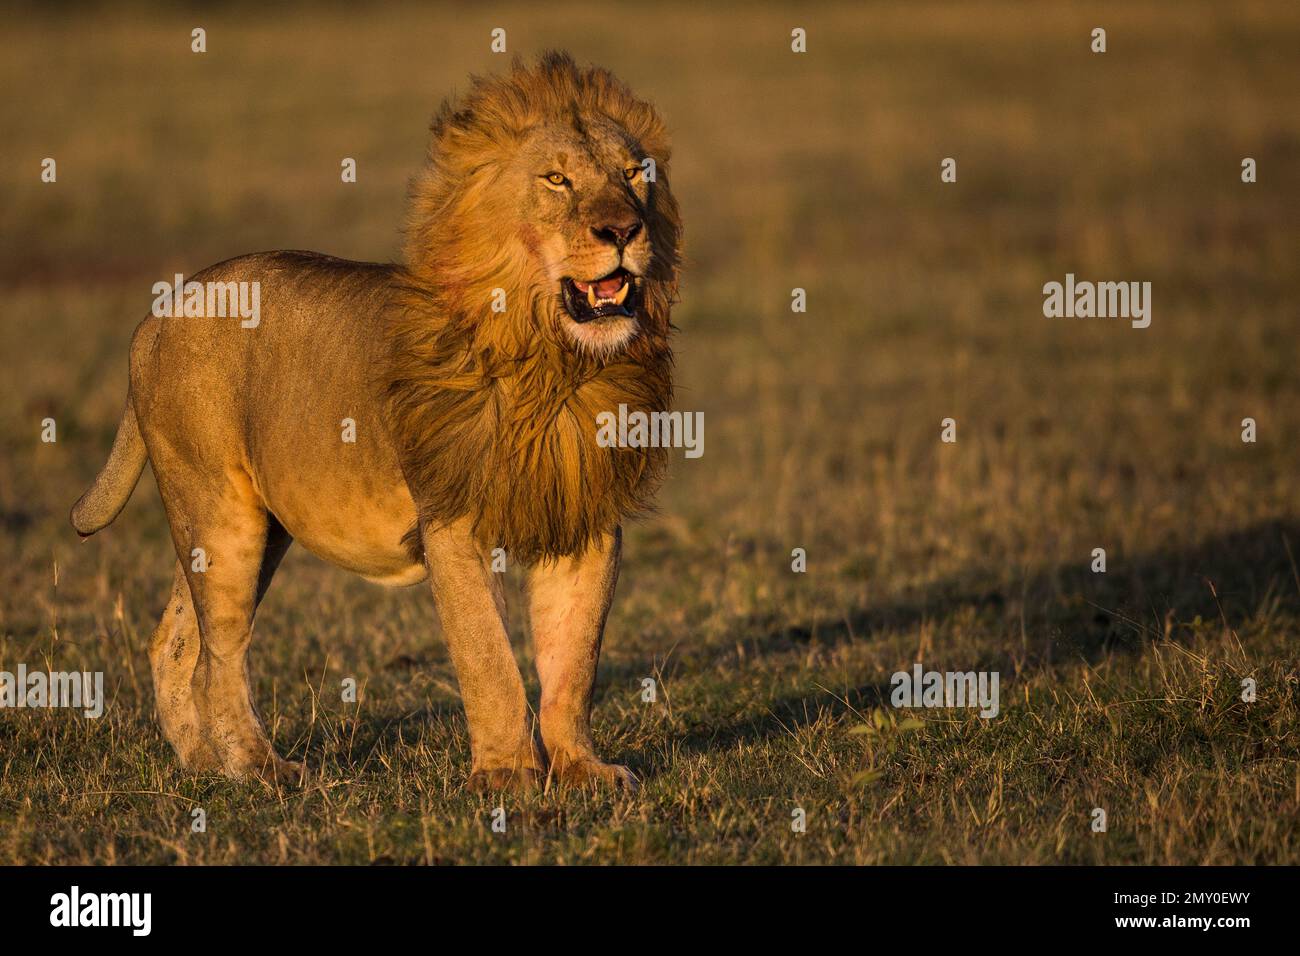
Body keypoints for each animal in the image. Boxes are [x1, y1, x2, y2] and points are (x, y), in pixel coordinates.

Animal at [69, 52, 681, 791]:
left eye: (633, 174)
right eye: (556, 179)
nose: (622, 231)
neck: (552, 364)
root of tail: (156, 316)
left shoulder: (584, 514)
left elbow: (574, 660)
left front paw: (581, 769)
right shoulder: (451, 522)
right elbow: (487, 656)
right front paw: (507, 775)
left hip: (254, 528)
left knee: (178, 643)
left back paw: (206, 770)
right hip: (219, 513)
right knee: (220, 655)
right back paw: (263, 771)